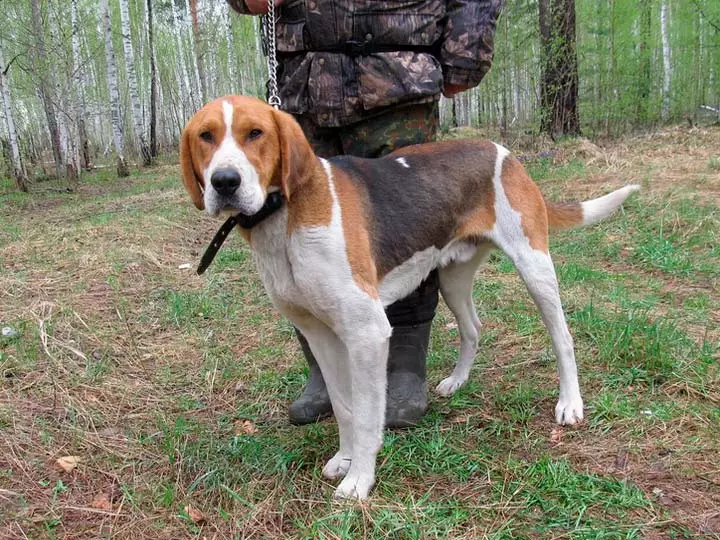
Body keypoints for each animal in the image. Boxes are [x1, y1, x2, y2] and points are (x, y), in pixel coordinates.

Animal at [177, 95, 640, 500]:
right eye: (205, 136)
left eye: (255, 133)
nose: (225, 182)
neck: (284, 218)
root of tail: (503, 152)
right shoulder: (321, 335)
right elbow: (344, 407)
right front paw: (345, 459)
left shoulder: (366, 333)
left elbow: (367, 414)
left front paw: (359, 481)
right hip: (452, 277)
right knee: (473, 328)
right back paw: (457, 381)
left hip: (535, 267)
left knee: (563, 337)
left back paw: (570, 404)